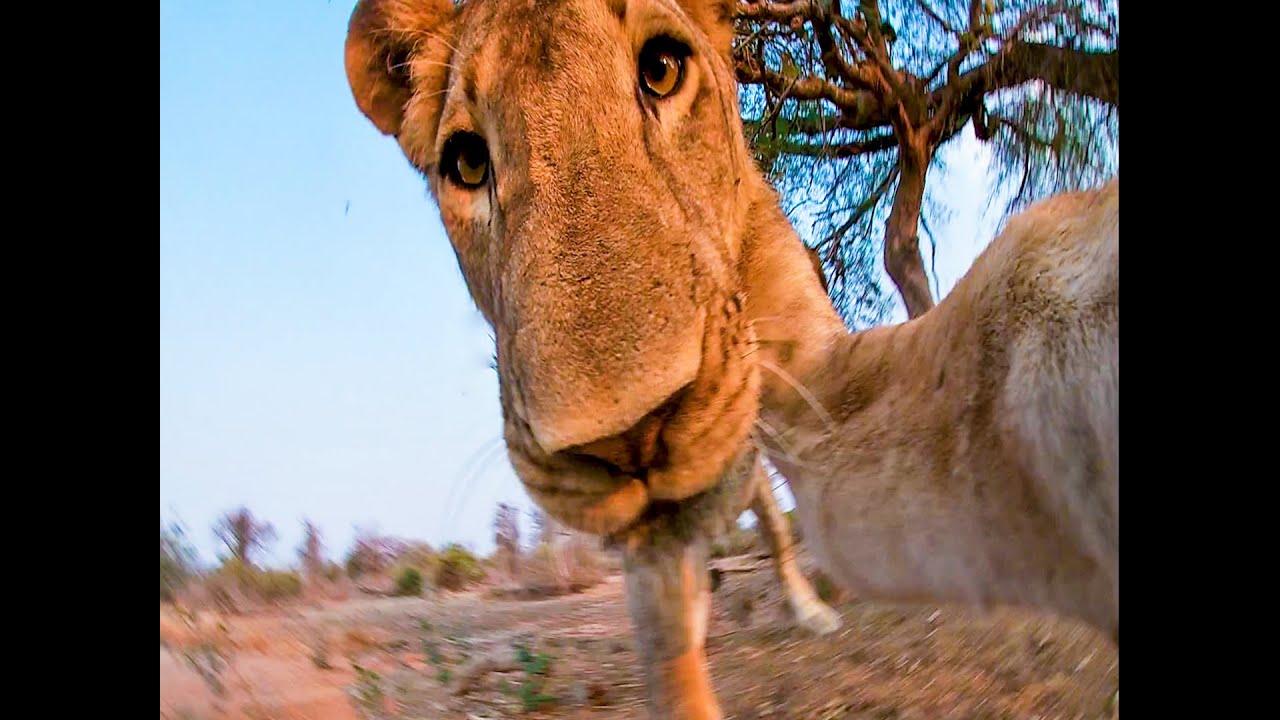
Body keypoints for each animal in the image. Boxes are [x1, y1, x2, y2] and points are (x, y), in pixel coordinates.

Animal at [342, 0, 1119, 717]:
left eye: (661, 70)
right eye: (468, 161)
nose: (629, 439)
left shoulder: (816, 377)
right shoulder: (651, 564)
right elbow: (671, 662)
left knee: (771, 521)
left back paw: (807, 608)